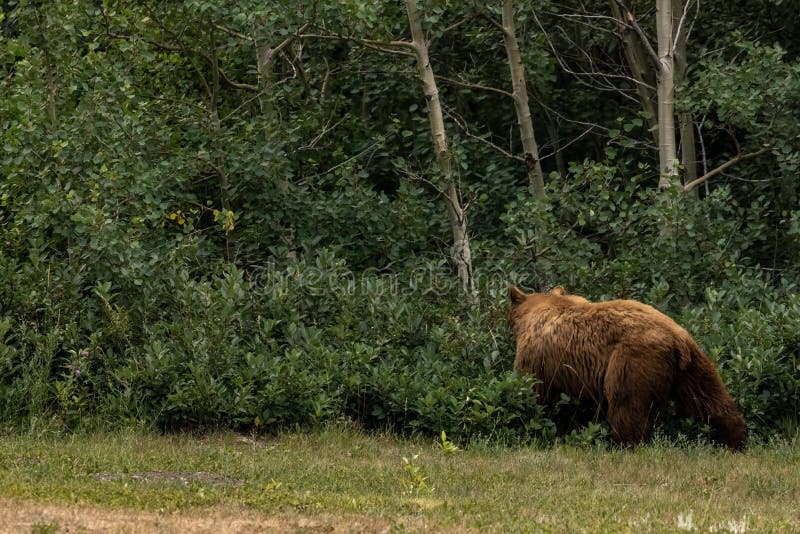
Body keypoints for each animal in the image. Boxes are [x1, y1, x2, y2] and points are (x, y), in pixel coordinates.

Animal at [508, 285, 746, 449]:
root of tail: (676, 337)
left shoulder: (535, 356)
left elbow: (532, 390)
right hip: (691, 366)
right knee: (708, 398)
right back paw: (733, 439)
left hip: (632, 361)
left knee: (626, 404)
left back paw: (623, 444)